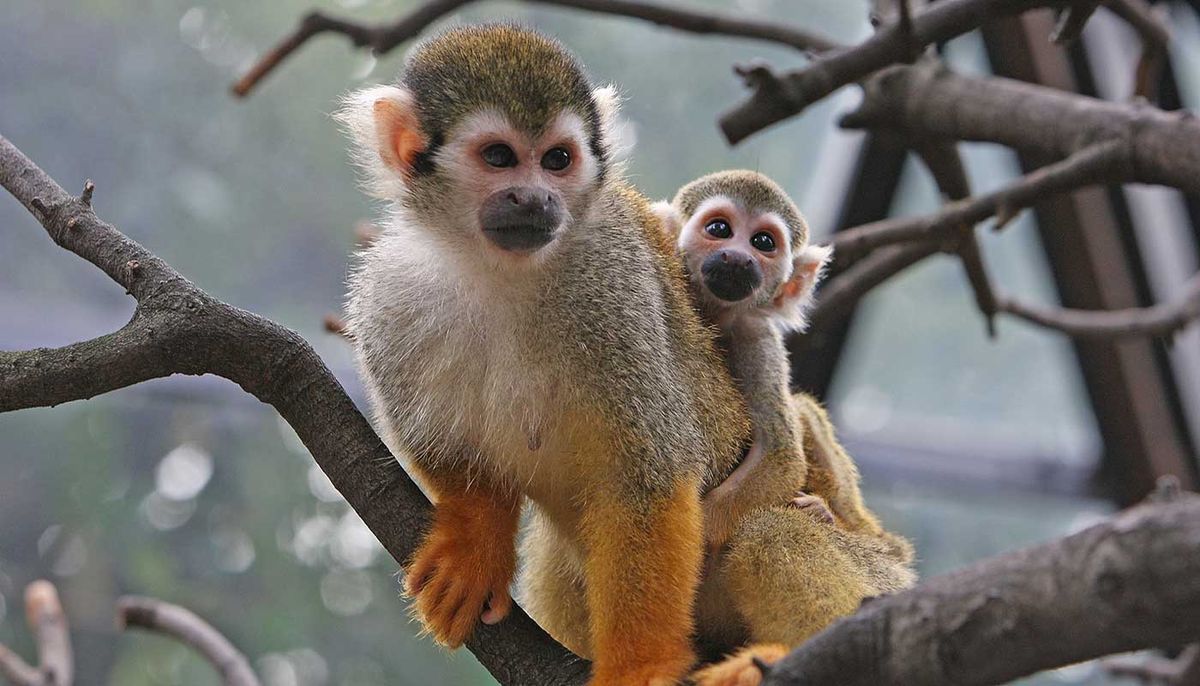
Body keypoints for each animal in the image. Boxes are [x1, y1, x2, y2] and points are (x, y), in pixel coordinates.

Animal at [337, 24, 751, 685]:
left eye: (558, 159)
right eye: (499, 157)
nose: (534, 199)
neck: (501, 270)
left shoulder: (616, 288)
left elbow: (647, 476)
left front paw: (638, 666)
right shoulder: (389, 296)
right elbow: (440, 442)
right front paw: (476, 540)